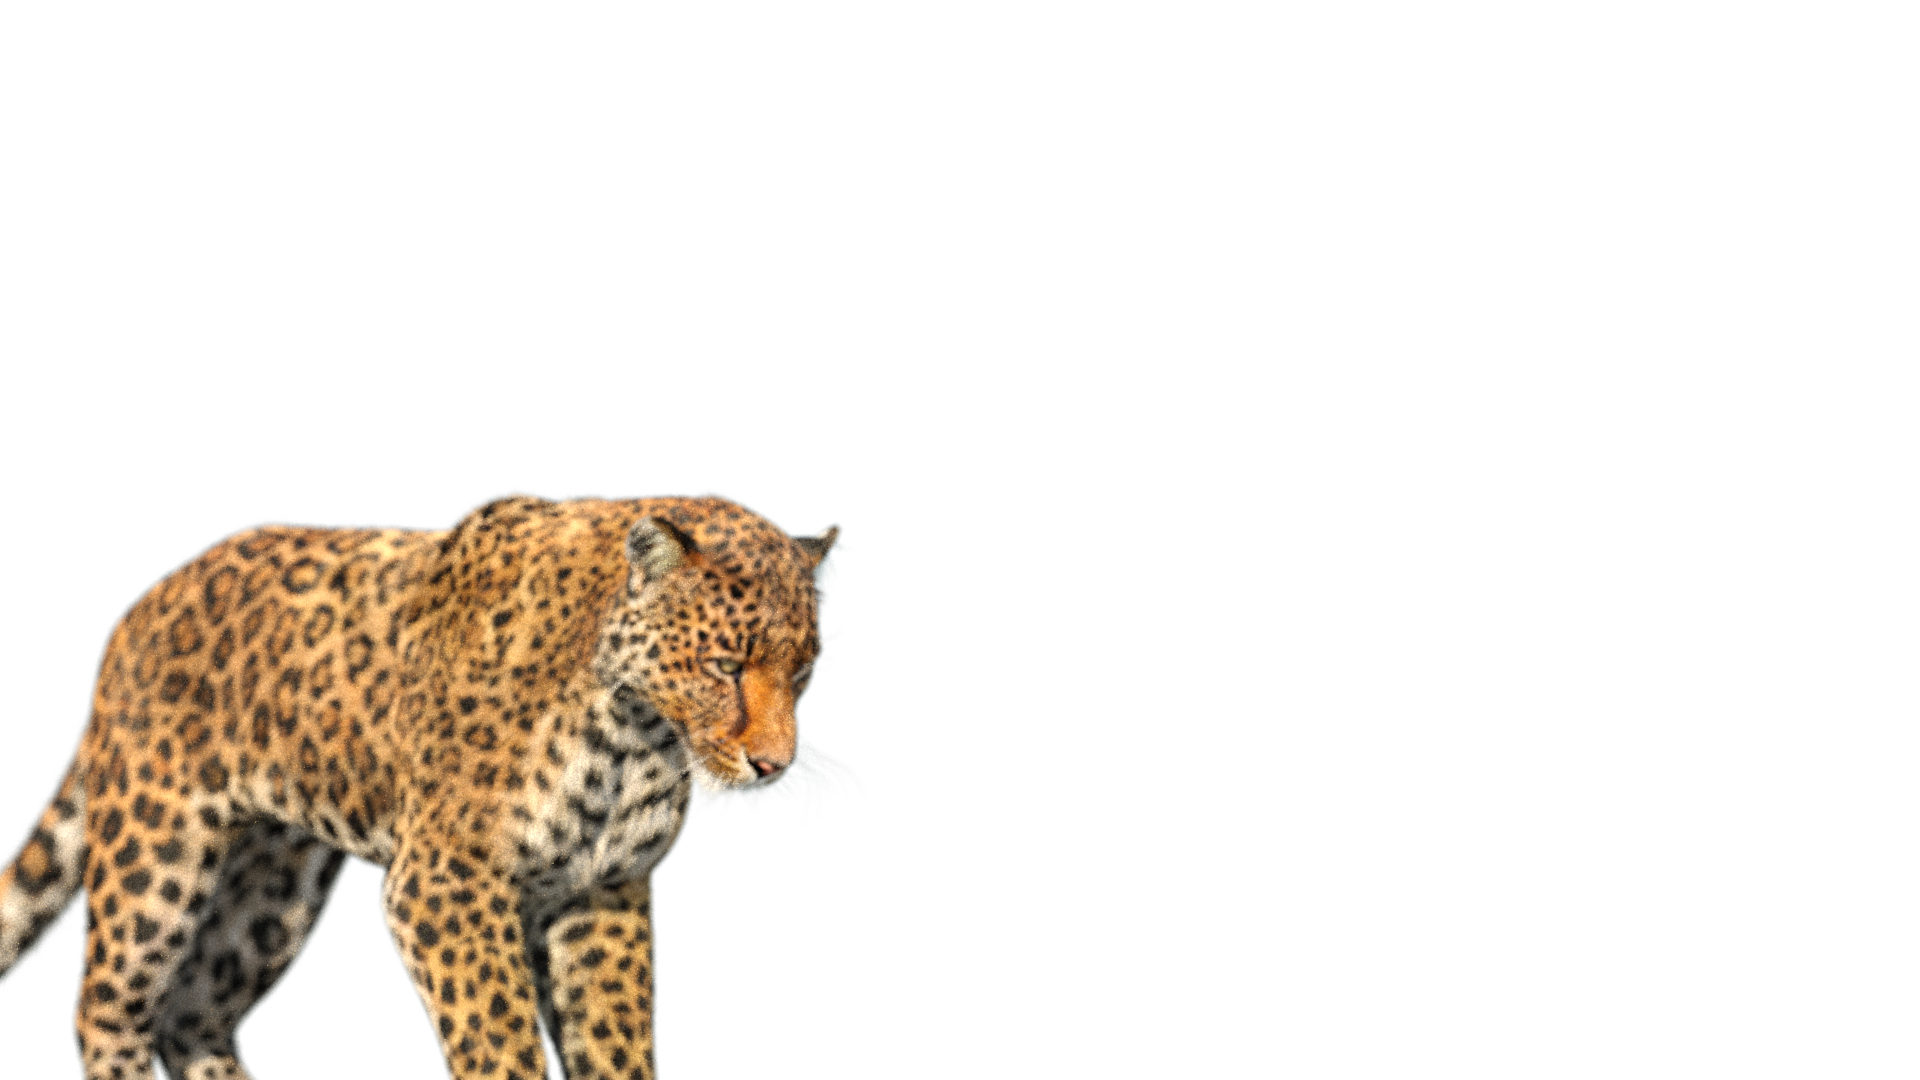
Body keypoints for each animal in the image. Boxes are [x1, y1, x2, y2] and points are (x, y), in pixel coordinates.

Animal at [0, 494, 836, 1080]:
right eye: (726, 666)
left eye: (802, 672)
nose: (774, 764)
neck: (635, 734)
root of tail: (138, 612)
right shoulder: (447, 880)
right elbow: (498, 1037)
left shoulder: (602, 889)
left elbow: (612, 1037)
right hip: (159, 851)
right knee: (109, 1008)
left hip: (272, 888)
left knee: (193, 1014)